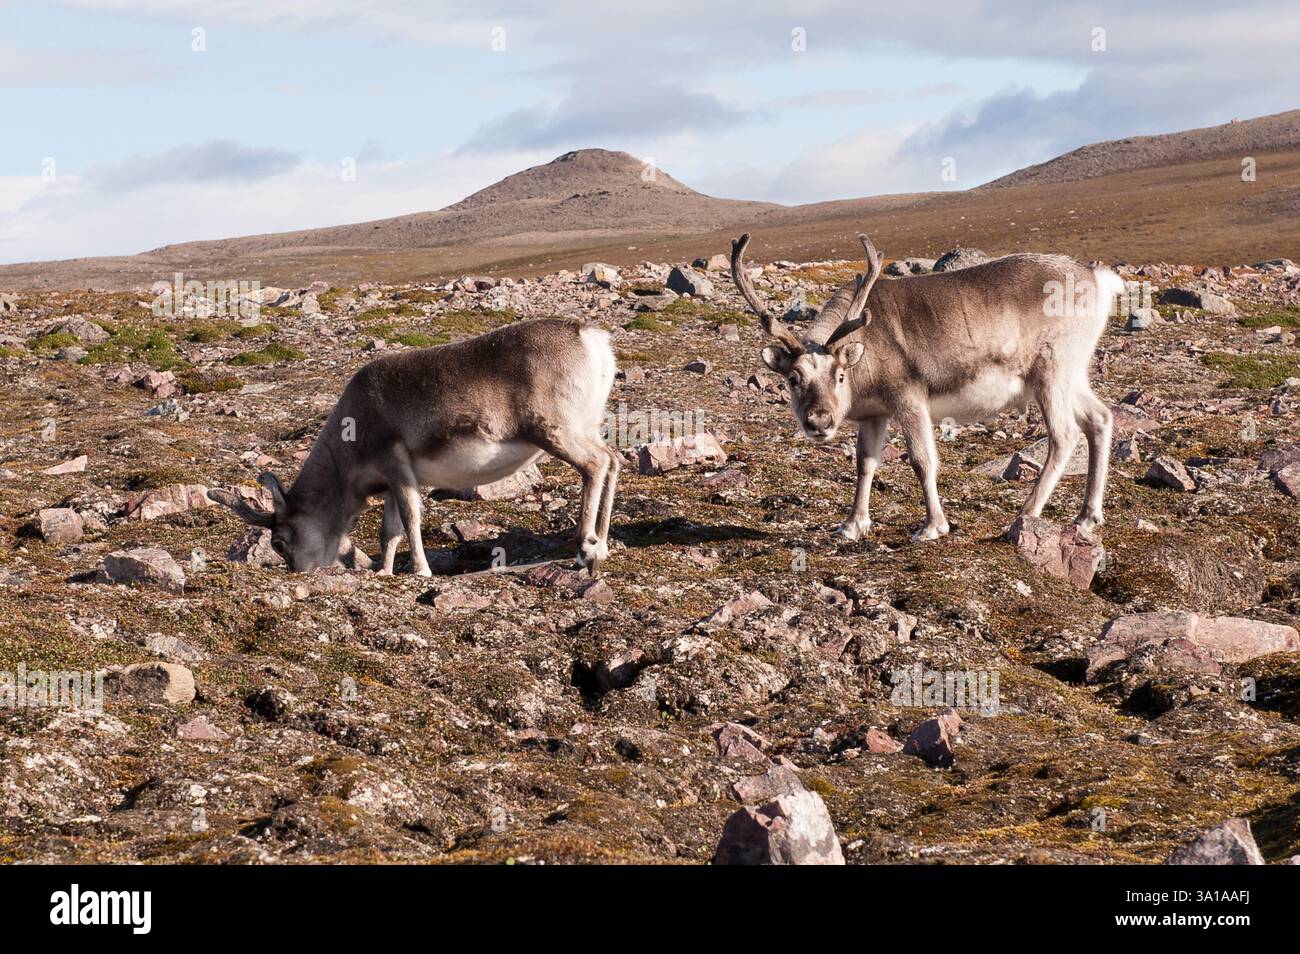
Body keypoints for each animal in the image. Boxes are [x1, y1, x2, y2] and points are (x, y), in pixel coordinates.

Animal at [208, 318, 620, 576]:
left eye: (278, 542)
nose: (298, 571)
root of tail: (592, 339)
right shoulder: (391, 482)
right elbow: (388, 531)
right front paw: (384, 571)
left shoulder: (396, 464)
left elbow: (410, 518)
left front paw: (421, 571)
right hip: (587, 426)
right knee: (614, 459)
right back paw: (601, 546)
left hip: (554, 431)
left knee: (595, 464)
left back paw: (586, 550)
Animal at [731, 231, 1123, 543]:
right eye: (793, 379)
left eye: (840, 376)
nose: (819, 422)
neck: (864, 353)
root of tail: (1097, 278)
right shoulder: (874, 414)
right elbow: (865, 463)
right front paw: (853, 524)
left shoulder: (909, 397)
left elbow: (922, 460)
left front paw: (933, 525)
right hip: (1072, 374)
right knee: (1100, 418)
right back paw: (1087, 516)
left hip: (1052, 371)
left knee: (1064, 435)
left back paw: (1025, 515)